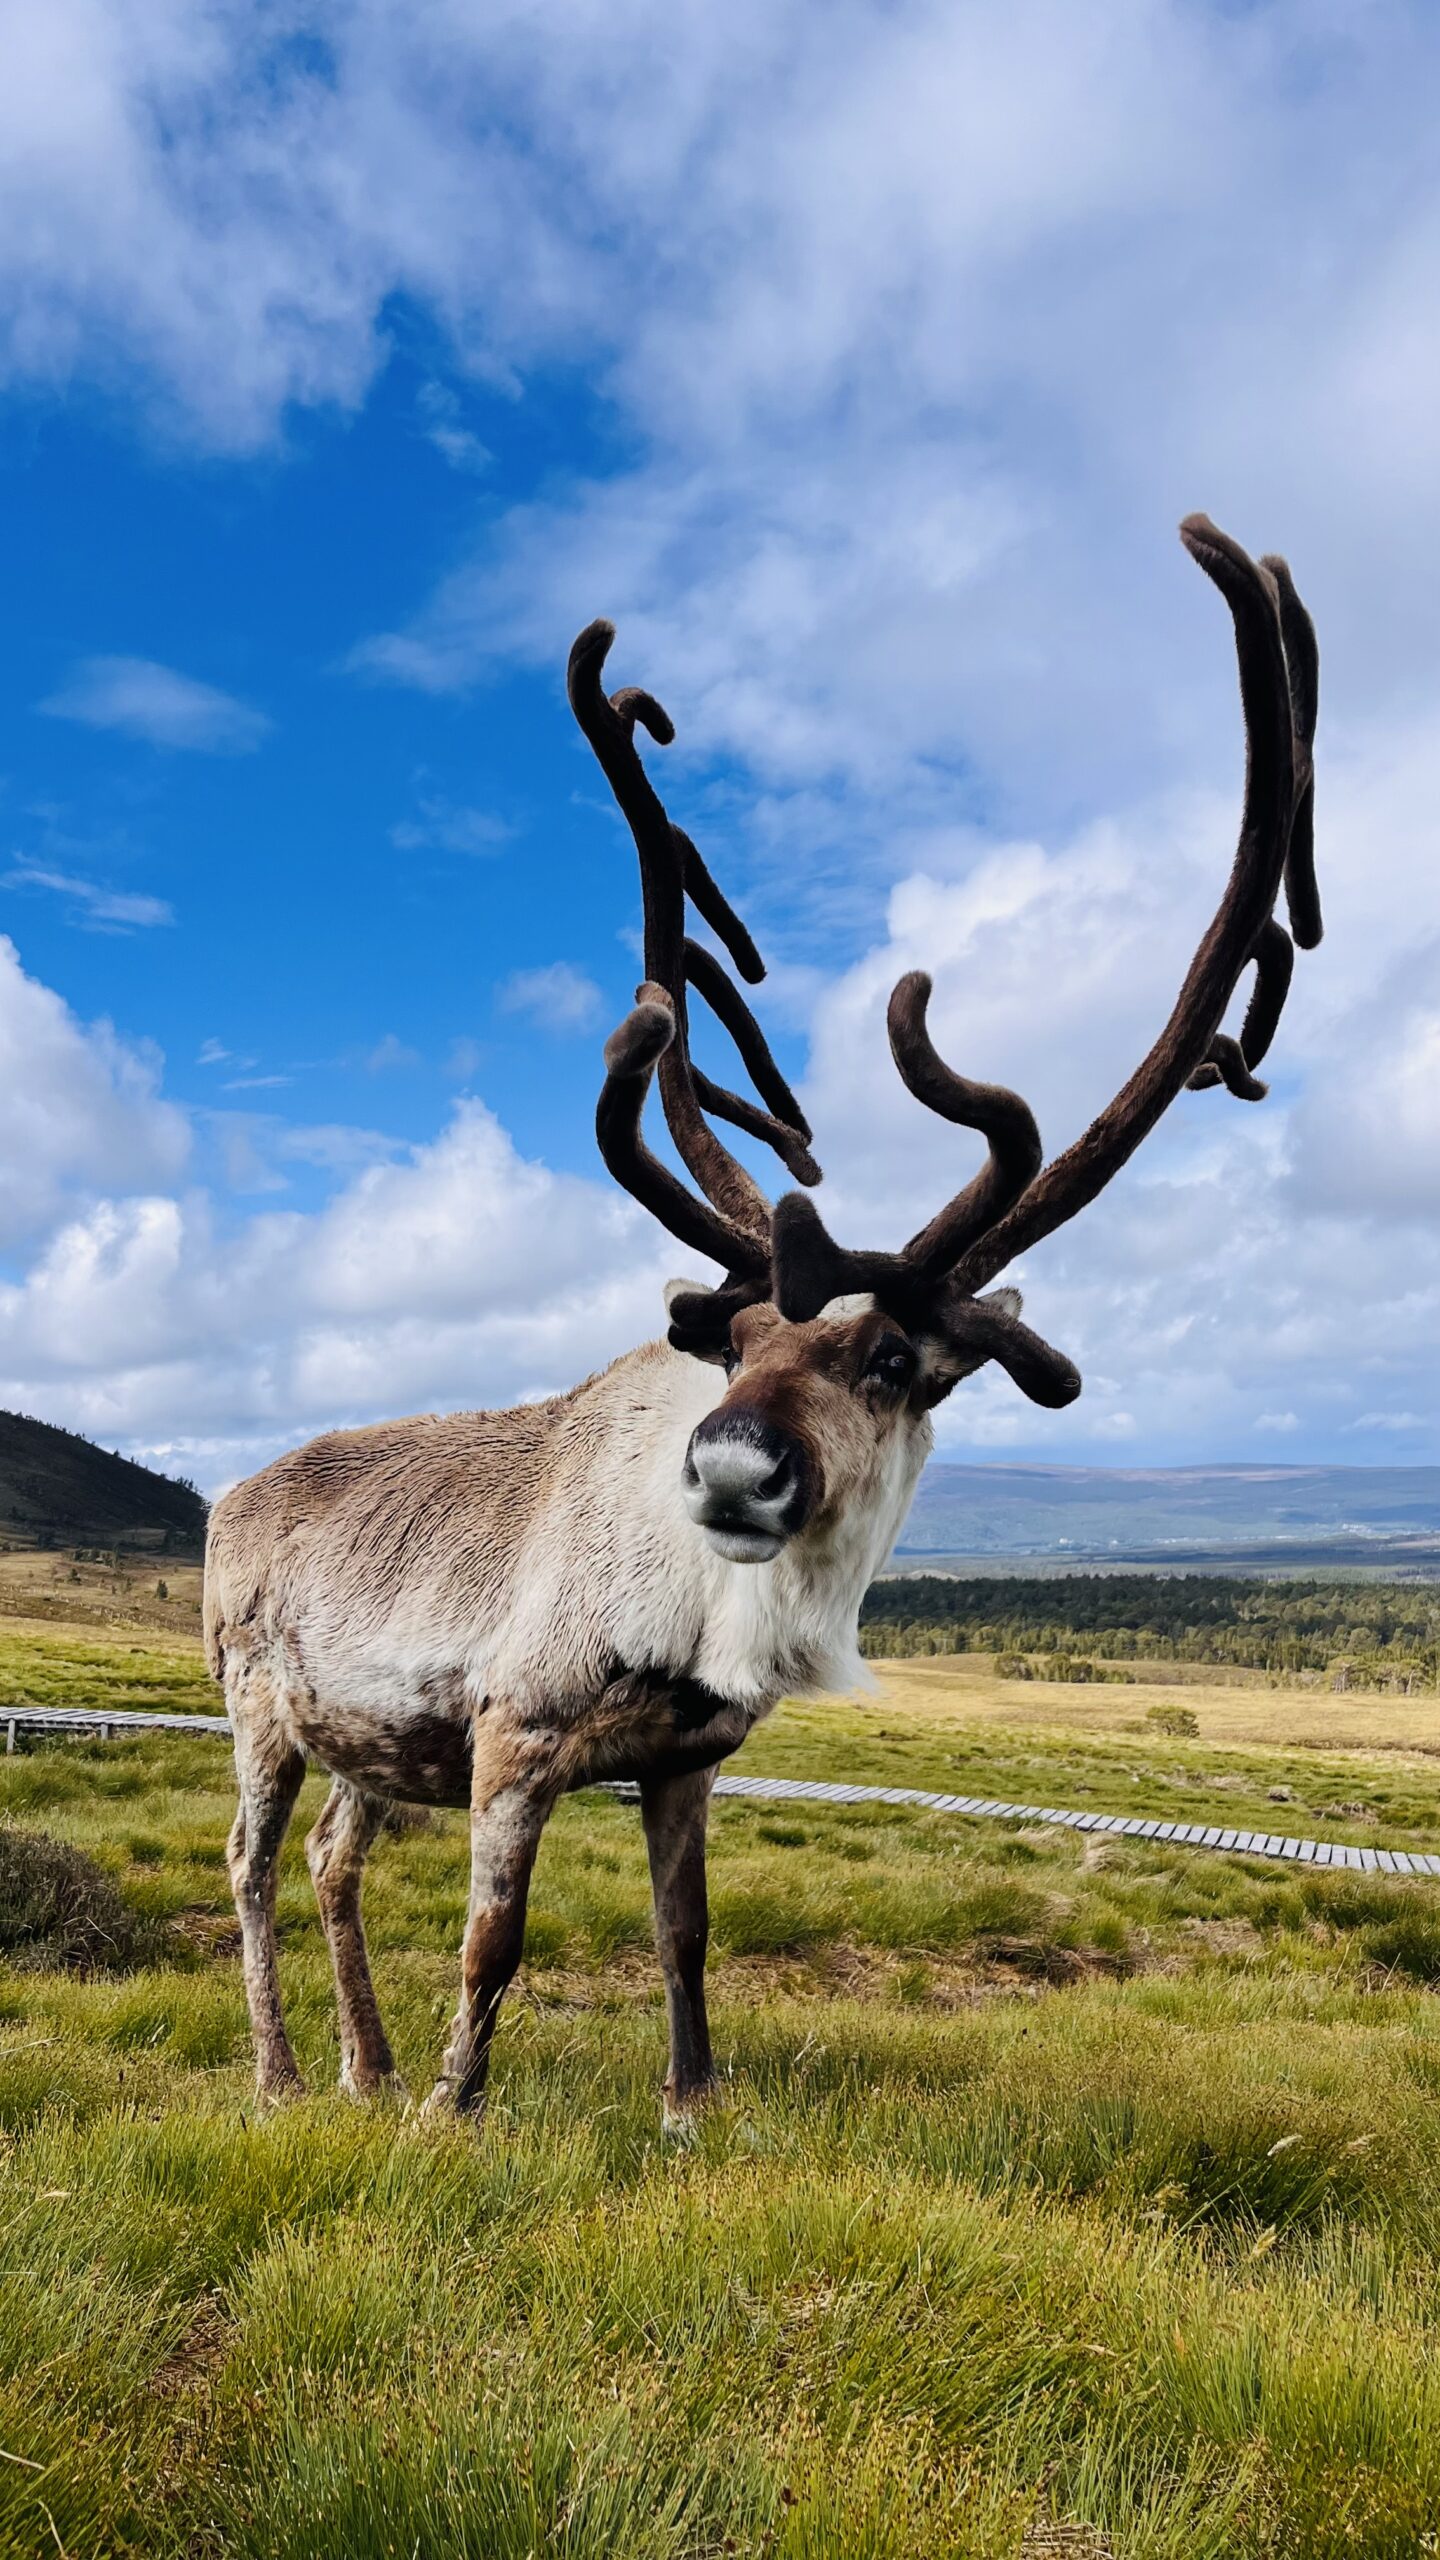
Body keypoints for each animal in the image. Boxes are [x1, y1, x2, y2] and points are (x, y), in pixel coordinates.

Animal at [204, 514, 1320, 2128]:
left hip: (366, 1740)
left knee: (329, 1856)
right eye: (733, 1347)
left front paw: (688, 2108)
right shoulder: (514, 1734)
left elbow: (687, 1934)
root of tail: (226, 1495)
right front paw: (453, 2112)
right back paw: (292, 2077)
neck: (704, 1626)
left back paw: (364, 2063)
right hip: (258, 1705)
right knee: (248, 1862)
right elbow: (494, 1941)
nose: (733, 1467)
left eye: (897, 1358)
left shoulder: (688, 1762)